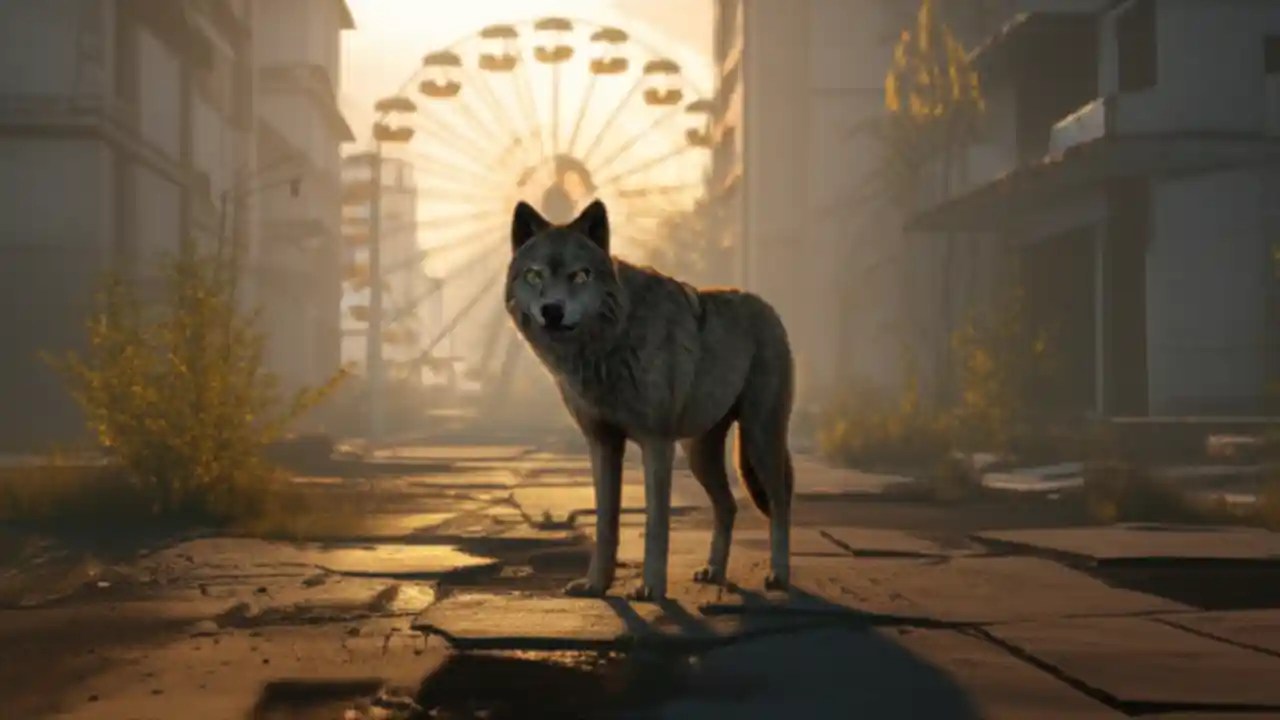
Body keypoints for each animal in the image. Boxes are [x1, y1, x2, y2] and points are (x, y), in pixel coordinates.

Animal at [505, 199, 795, 601]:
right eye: (534, 276)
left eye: (580, 276)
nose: (552, 310)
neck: (606, 346)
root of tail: (767, 307)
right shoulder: (602, 443)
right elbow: (605, 523)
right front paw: (596, 584)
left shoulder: (656, 444)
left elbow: (656, 522)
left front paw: (651, 588)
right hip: (699, 454)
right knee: (728, 506)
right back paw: (713, 571)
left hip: (758, 438)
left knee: (780, 502)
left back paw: (779, 575)